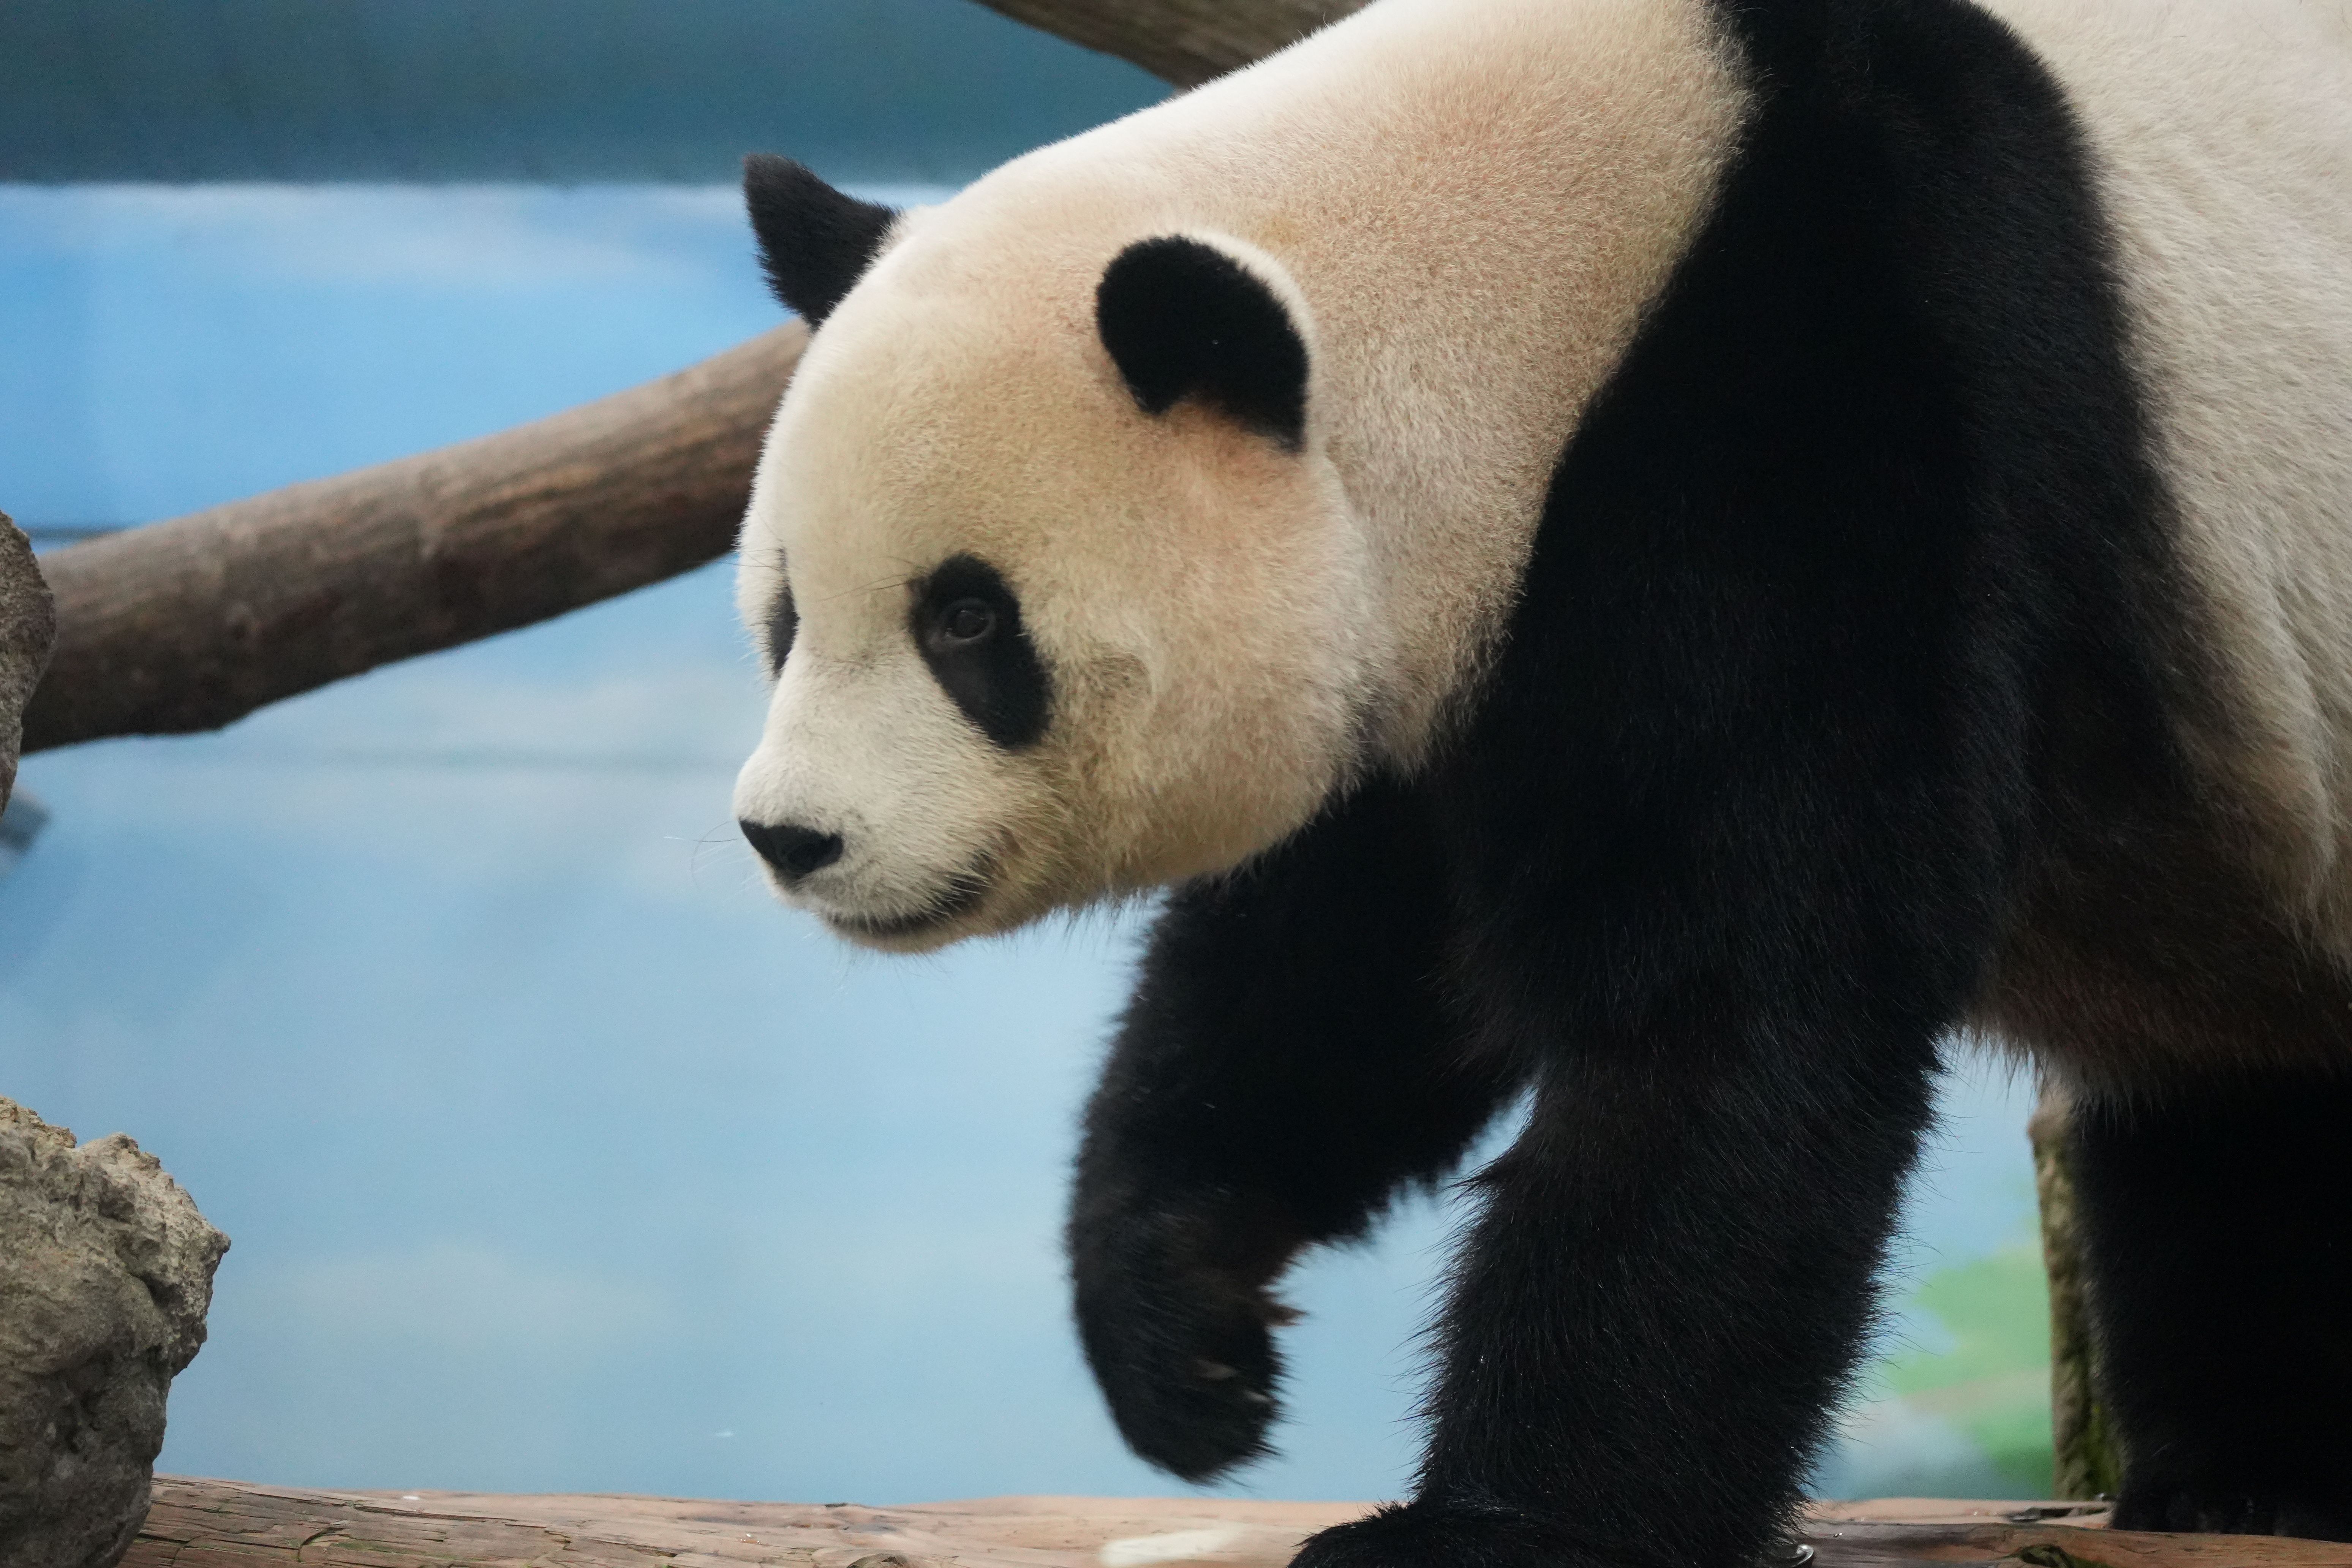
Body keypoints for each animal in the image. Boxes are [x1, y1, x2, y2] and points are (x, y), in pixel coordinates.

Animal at [728, 0, 2352, 1557]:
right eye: (786, 611)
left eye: (966, 620)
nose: (788, 837)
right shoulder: (1449, 652)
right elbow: (1346, 967)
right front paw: (1185, 1328)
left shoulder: (1837, 389)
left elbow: (1733, 1011)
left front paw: (1484, 1529)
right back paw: (2245, 1475)